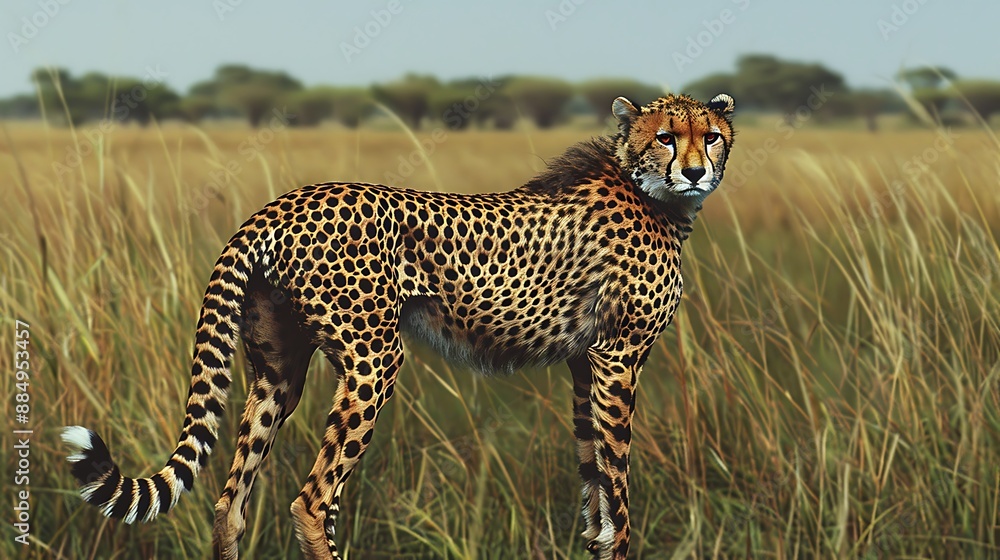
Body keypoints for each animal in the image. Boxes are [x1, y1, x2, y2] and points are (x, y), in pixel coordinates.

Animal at [63, 92, 736, 560]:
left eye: (712, 137)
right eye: (667, 137)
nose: (695, 172)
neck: (648, 190)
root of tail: (280, 202)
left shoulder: (585, 361)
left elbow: (594, 486)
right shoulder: (618, 358)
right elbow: (617, 497)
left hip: (277, 372)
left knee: (231, 503)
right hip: (373, 360)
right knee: (312, 502)